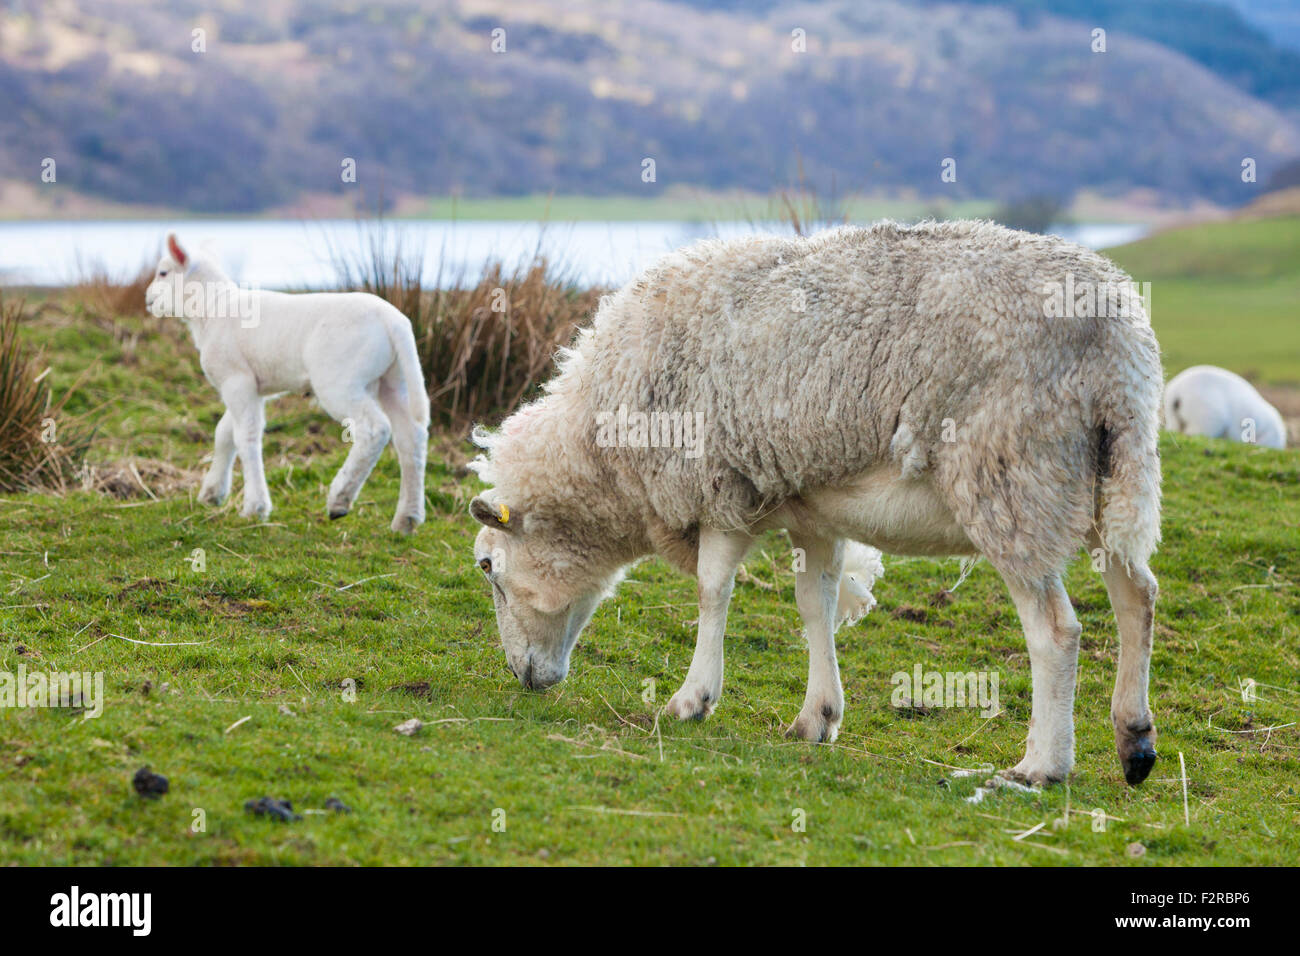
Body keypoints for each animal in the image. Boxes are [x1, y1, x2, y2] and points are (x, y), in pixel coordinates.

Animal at [145, 234, 429, 532]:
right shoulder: (251, 386)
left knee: (375, 429)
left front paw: (255, 507)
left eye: (162, 273)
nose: (147, 298)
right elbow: (224, 433)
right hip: (393, 380)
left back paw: (340, 498)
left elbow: (245, 437)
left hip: (339, 381)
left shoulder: (236, 379)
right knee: (412, 437)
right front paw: (212, 493)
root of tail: (394, 322)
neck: (212, 309)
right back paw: (407, 518)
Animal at [469, 220, 1163, 787]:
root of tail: (1118, 340)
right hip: (1109, 479)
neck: (603, 452)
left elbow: (713, 591)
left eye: (488, 568)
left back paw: (1041, 765)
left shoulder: (721, 485)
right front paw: (818, 718)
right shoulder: (813, 513)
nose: (524, 678)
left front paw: (692, 699)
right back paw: (1134, 741)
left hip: (1011, 478)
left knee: (1057, 631)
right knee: (1138, 596)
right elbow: (815, 607)